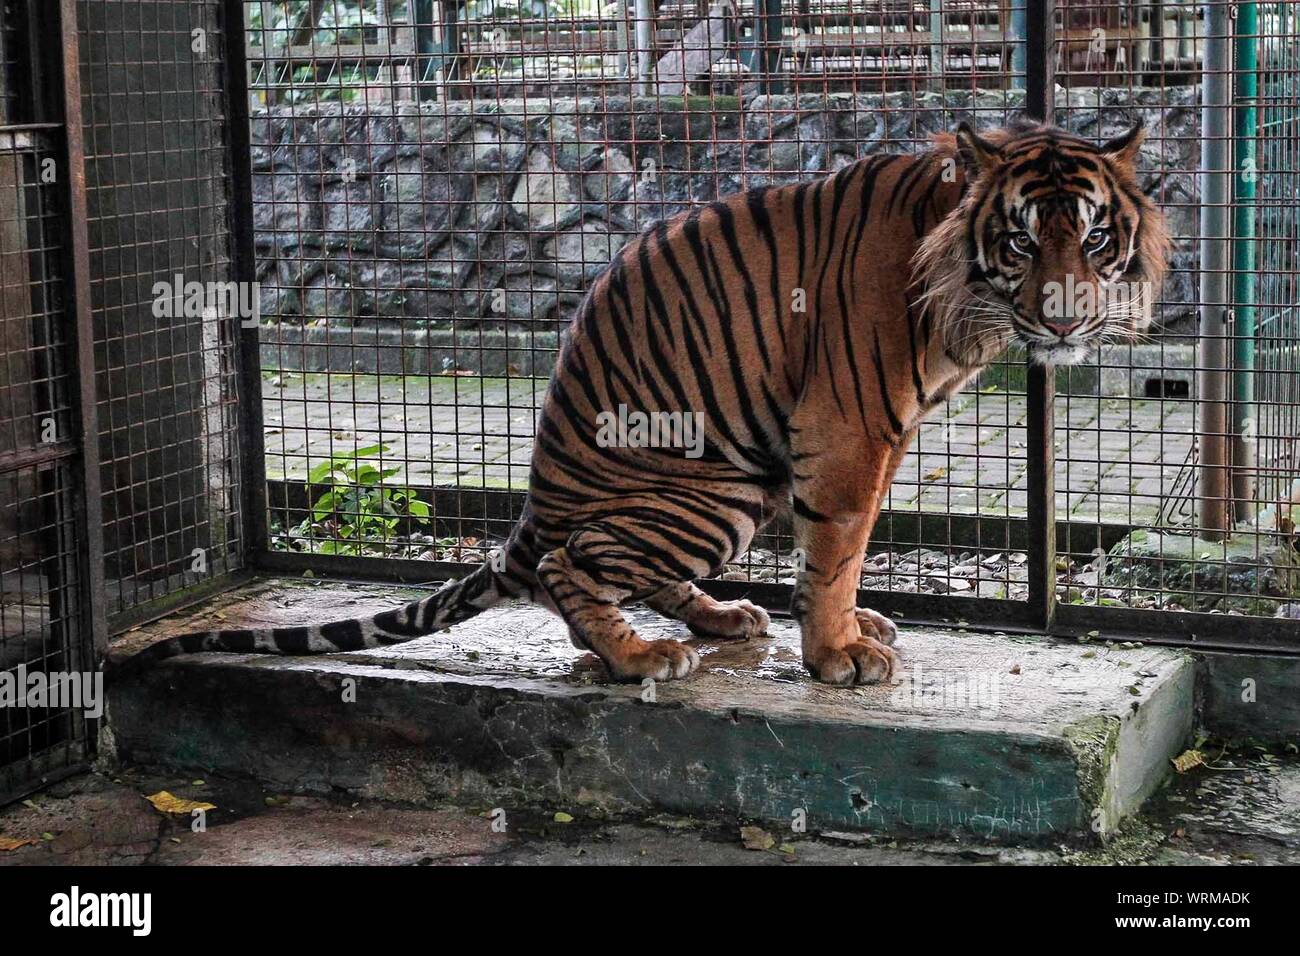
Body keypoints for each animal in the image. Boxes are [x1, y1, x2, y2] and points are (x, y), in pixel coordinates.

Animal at [110, 118, 1169, 686]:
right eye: (1024, 240)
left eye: (1095, 237)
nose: (1067, 319)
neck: (967, 297)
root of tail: (531, 514)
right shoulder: (847, 428)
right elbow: (837, 551)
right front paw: (836, 653)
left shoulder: (884, 434)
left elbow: (847, 548)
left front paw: (848, 631)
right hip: (714, 487)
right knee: (574, 567)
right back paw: (640, 658)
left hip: (743, 474)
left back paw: (722, 619)